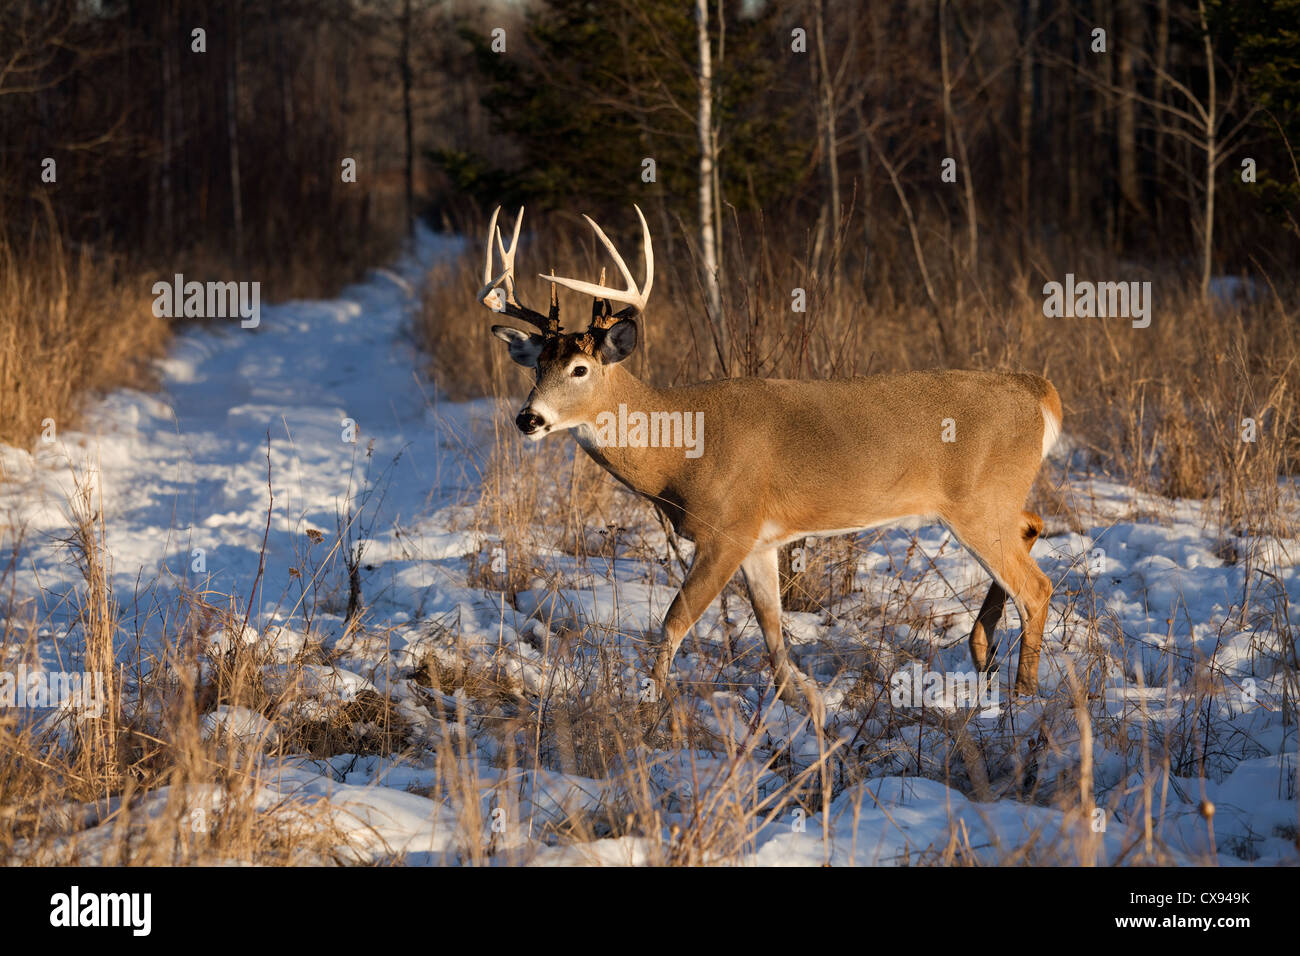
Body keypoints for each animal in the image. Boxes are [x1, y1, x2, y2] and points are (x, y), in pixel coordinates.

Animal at [478, 205, 1062, 720]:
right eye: (537, 367)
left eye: (579, 368)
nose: (528, 418)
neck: (678, 451)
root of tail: (1041, 392)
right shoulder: (761, 541)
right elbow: (774, 637)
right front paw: (811, 711)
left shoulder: (727, 529)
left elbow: (673, 621)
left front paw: (648, 709)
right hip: (991, 503)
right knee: (1032, 526)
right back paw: (983, 648)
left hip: (979, 503)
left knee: (1037, 587)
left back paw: (1024, 695)